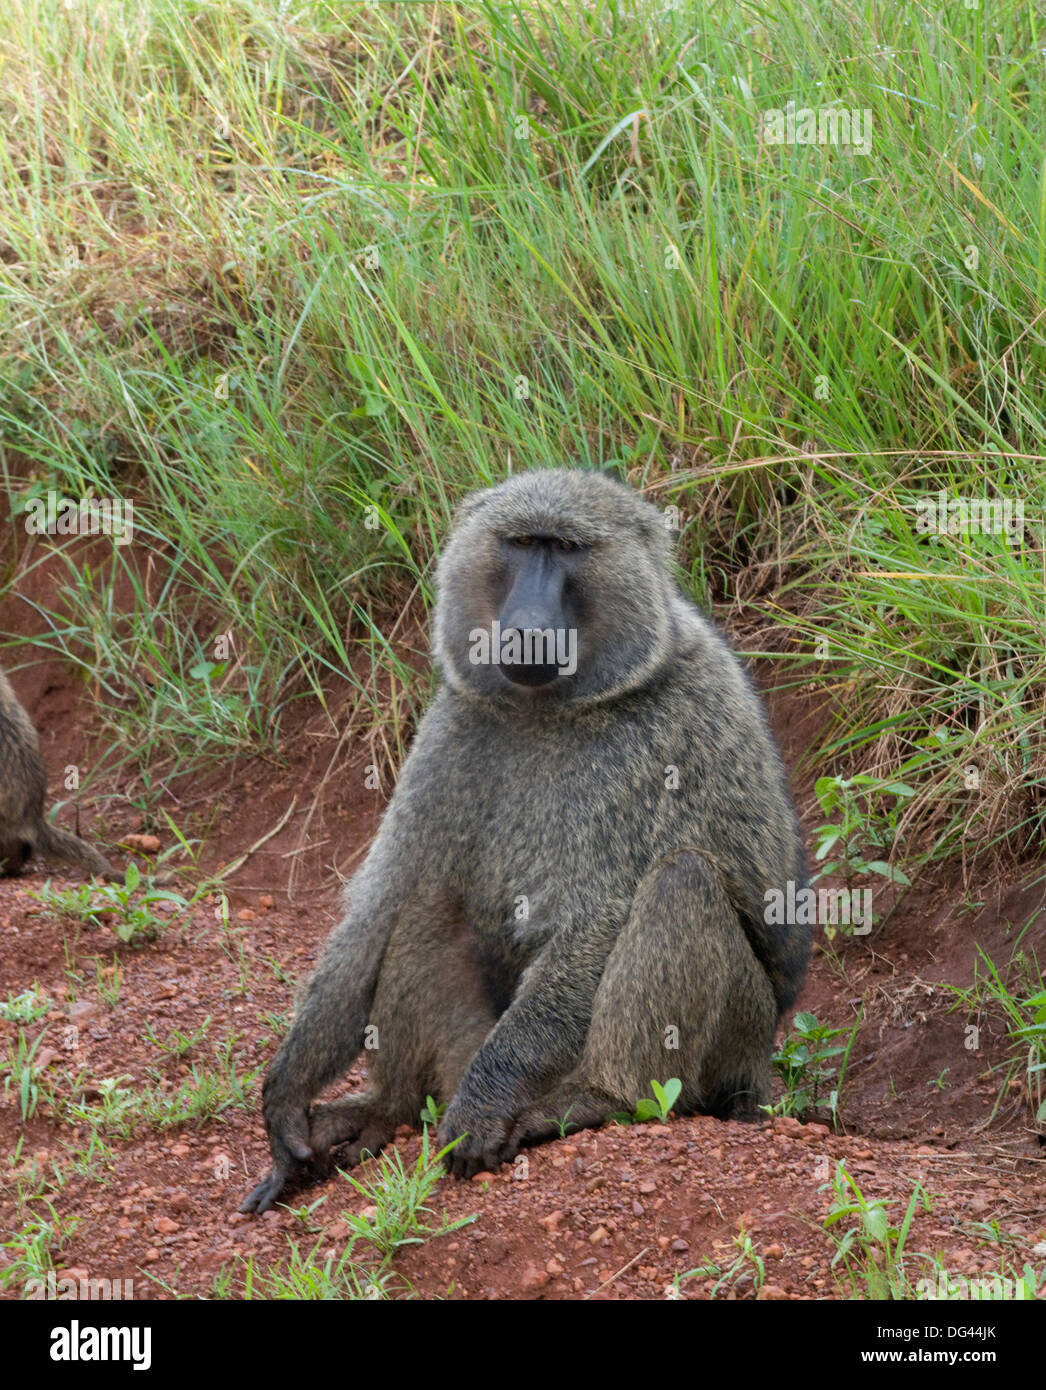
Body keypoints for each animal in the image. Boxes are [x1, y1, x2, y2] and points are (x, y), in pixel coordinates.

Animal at [240, 468, 810, 1214]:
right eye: (519, 544)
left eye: (565, 549)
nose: (528, 625)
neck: (553, 708)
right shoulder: (453, 721)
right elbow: (380, 907)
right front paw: (286, 1097)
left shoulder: (678, 723)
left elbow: (595, 922)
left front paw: (483, 1107)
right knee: (426, 904)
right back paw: (386, 1108)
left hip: (739, 1045)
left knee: (682, 881)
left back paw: (596, 1099)